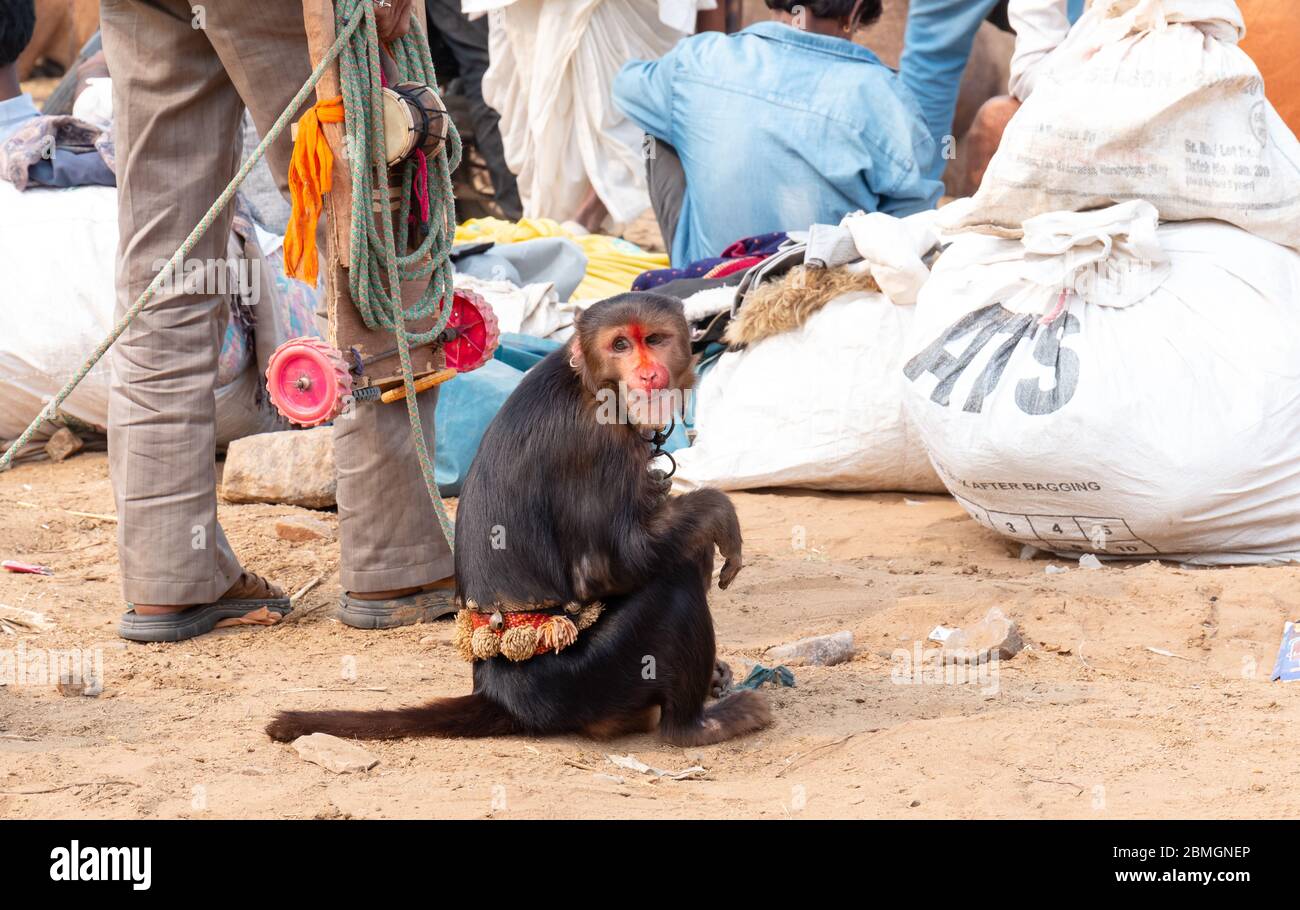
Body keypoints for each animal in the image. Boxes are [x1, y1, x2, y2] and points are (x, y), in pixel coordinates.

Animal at [267, 292, 771, 746]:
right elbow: (605, 567)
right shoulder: (594, 443)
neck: (589, 382)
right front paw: (718, 510)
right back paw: (692, 728)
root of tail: (500, 693)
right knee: (676, 579)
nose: (648, 374)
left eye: (655, 339)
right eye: (620, 346)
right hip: (579, 682)